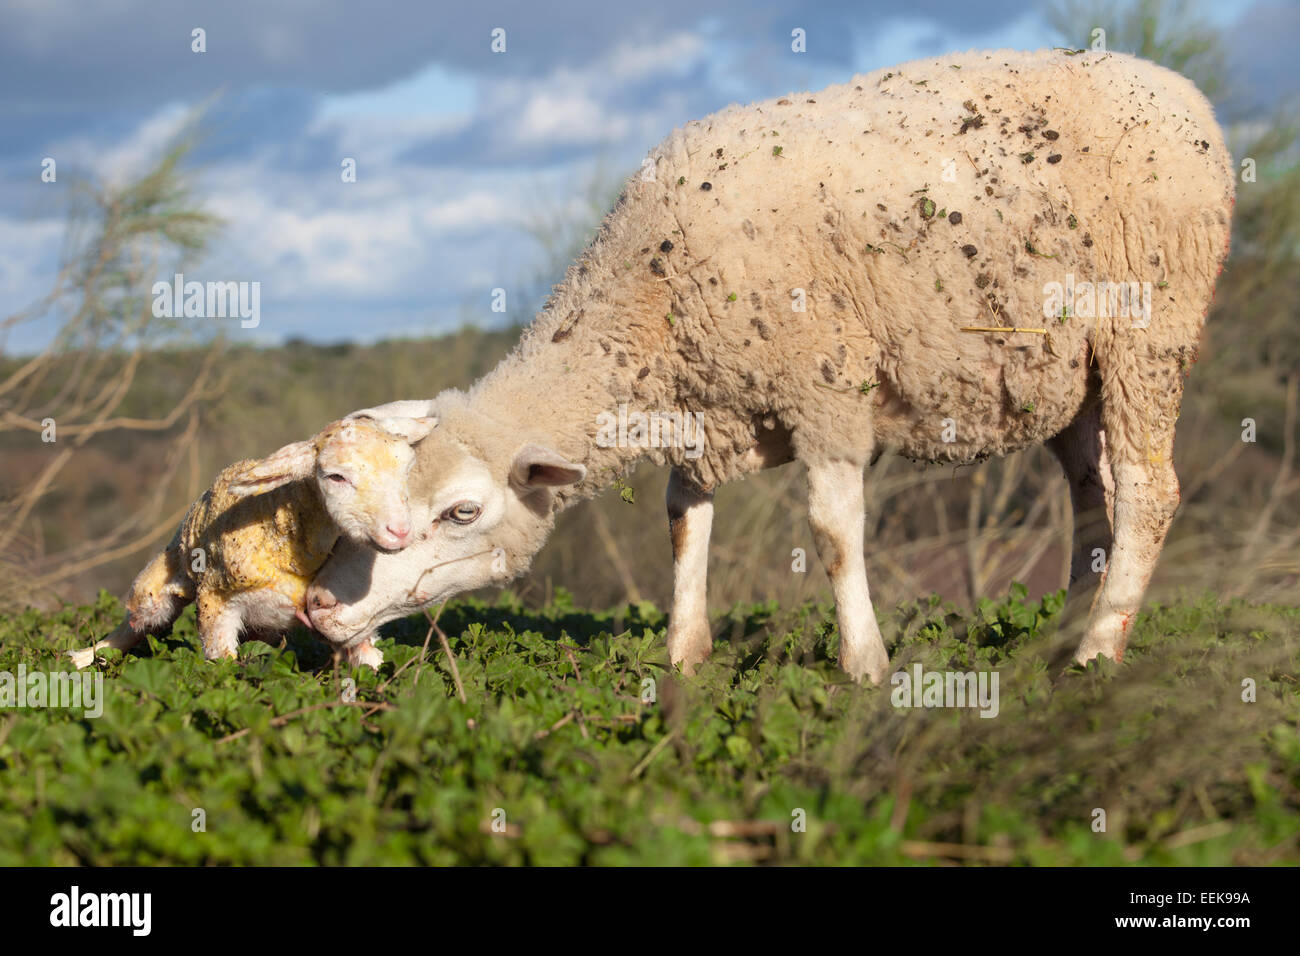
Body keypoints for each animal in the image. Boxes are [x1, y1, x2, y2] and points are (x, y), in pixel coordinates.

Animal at [68, 414, 435, 670]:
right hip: (154, 590)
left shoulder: (343, 616)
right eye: (336, 477)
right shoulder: (215, 602)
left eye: (406, 470)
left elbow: (368, 660)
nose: (400, 530)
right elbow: (223, 667)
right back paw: (82, 658)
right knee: (135, 624)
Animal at [302, 49, 1235, 683]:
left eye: (461, 512)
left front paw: (864, 664)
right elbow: (683, 521)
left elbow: (831, 529)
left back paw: (1097, 649)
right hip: (1070, 374)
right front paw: (684, 654)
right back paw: (1065, 635)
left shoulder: (825, 385)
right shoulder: (699, 412)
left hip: (1150, 331)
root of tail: (1180, 93)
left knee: (1147, 493)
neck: (650, 289)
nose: (319, 607)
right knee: (1093, 499)